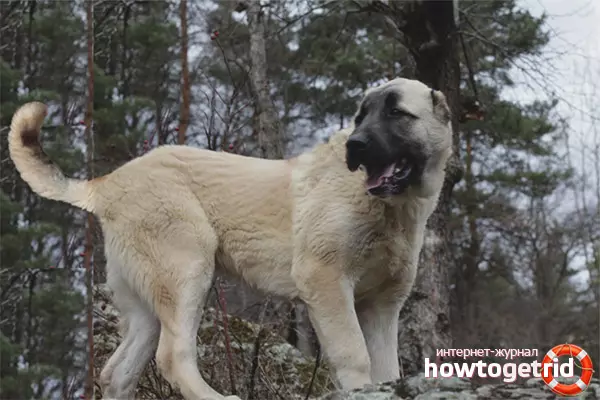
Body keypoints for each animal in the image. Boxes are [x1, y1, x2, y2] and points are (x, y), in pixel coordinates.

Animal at [8, 76, 450, 398]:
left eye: (396, 113)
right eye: (360, 117)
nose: (355, 145)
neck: (393, 209)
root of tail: (108, 183)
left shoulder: (382, 306)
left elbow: (388, 366)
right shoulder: (326, 281)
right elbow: (355, 354)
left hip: (146, 301)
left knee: (119, 372)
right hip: (187, 271)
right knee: (173, 356)